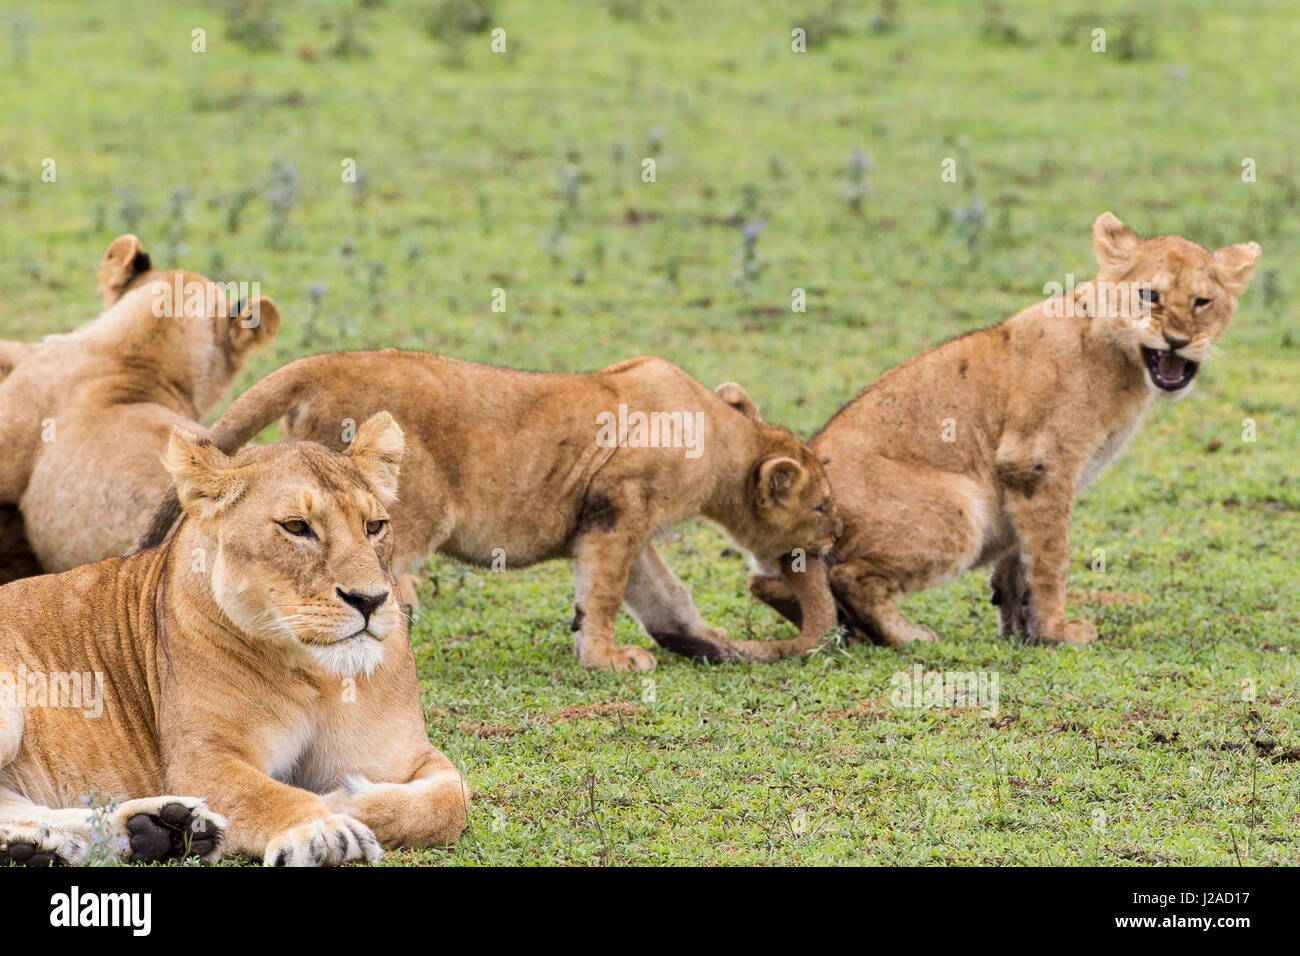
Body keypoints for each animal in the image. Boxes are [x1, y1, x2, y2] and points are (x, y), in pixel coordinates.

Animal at [0, 412, 469, 866]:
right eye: (296, 527)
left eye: (375, 526)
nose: (370, 600)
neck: (319, 676)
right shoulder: (202, 761)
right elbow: (267, 795)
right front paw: (324, 828)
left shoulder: (403, 756)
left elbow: (450, 802)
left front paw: (344, 800)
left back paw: (152, 830)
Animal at [140, 351, 842, 672]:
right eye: (822, 504)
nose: (837, 536)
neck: (721, 435)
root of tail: (326, 361)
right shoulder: (618, 507)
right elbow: (606, 592)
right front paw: (607, 659)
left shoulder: (630, 525)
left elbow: (664, 596)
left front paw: (708, 643)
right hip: (403, 517)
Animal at [732, 213, 1261, 659]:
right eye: (1150, 296)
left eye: (1203, 302)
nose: (1177, 340)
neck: (1126, 361)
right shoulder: (1037, 460)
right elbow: (1052, 557)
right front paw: (1057, 632)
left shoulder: (1019, 479)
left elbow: (1019, 561)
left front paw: (1021, 631)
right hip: (959, 509)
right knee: (848, 575)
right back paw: (904, 635)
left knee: (770, 584)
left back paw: (843, 630)